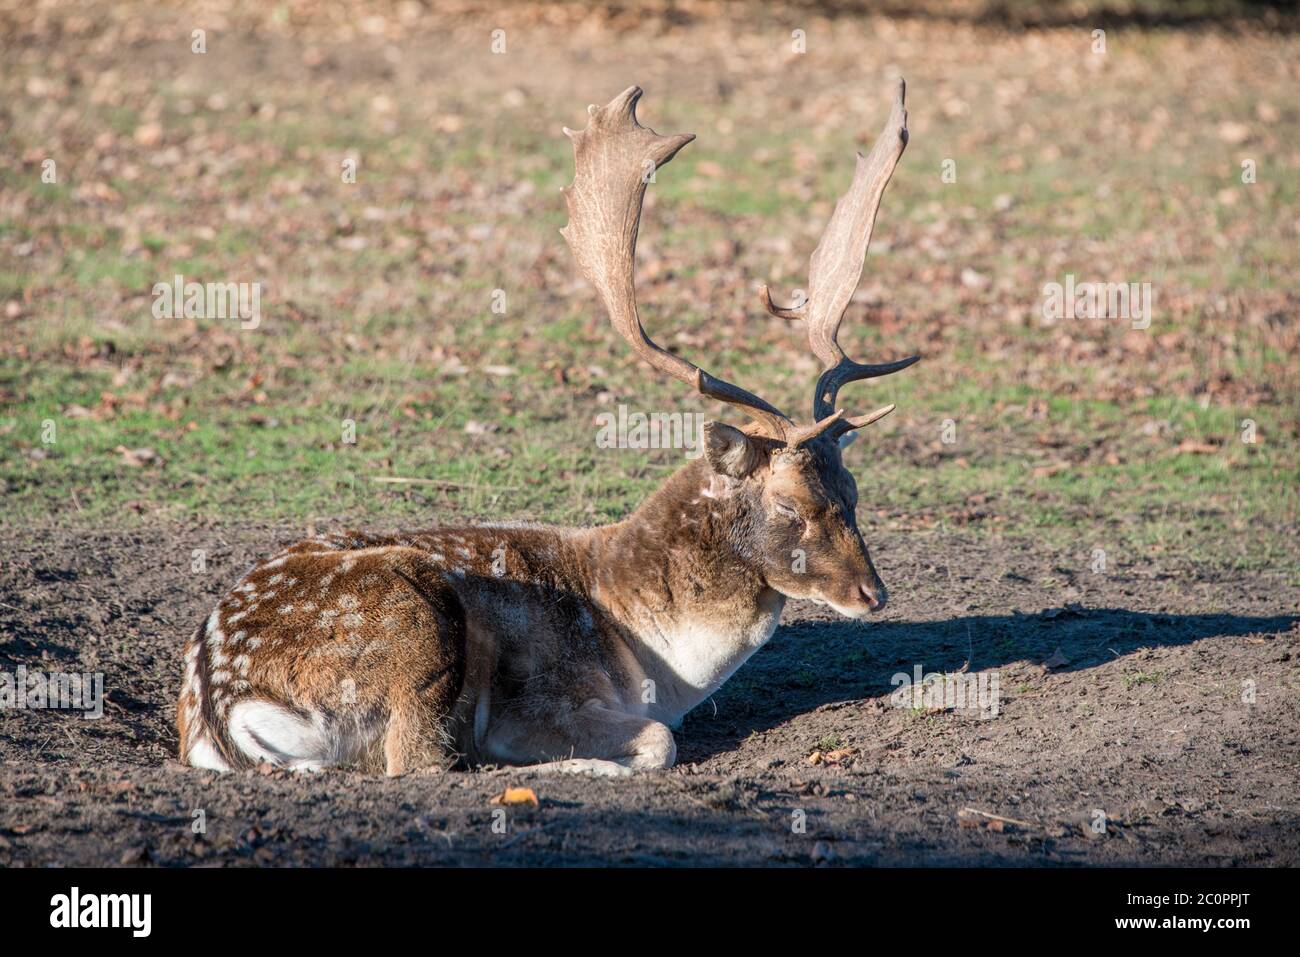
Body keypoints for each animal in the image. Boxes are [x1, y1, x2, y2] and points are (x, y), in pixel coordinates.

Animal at [176, 80, 918, 777]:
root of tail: (219, 701)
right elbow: (659, 739)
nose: (873, 593)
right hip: (410, 624)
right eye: (791, 507)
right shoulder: (542, 699)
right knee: (419, 759)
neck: (656, 661)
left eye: (854, 492)